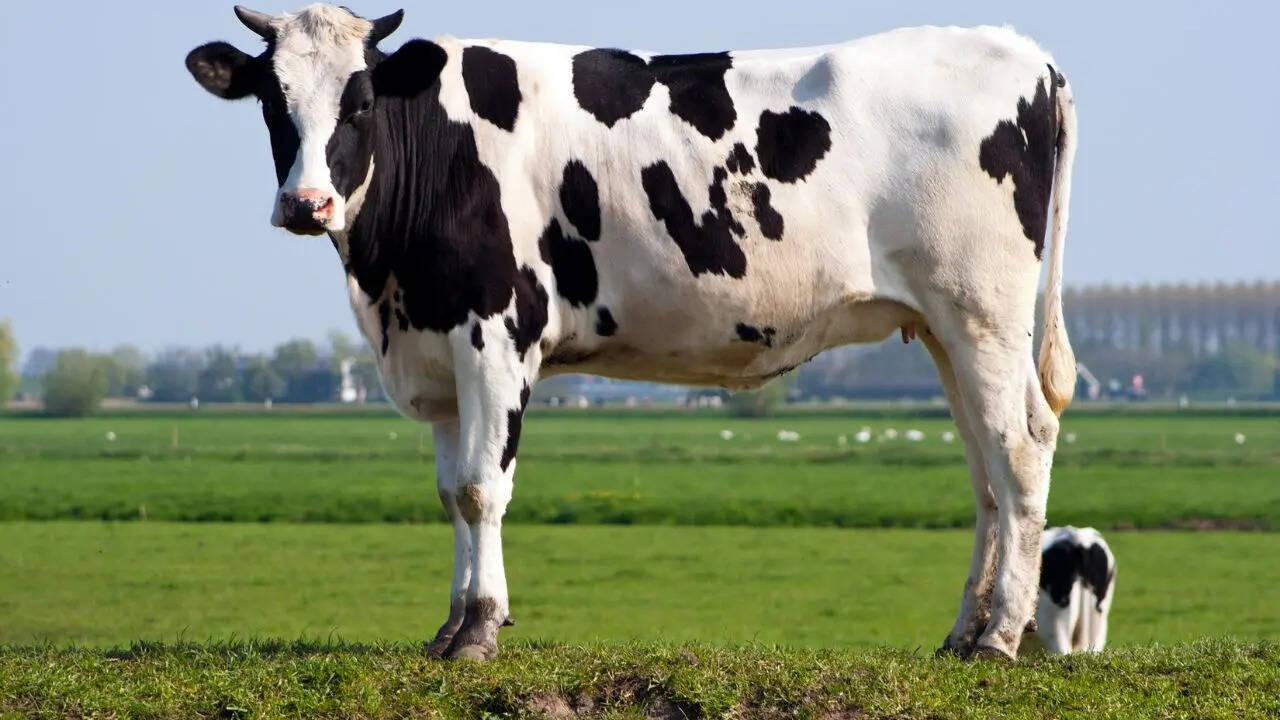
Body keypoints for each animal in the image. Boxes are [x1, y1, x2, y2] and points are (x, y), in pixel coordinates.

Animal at [186, 4, 1078, 661]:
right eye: (272, 101)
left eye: (361, 100)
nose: (307, 204)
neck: (388, 279)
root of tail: (1025, 53)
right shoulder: (435, 352)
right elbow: (449, 491)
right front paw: (450, 625)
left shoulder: (496, 337)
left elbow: (482, 488)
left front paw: (479, 629)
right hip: (945, 328)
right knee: (985, 470)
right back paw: (962, 634)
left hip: (983, 314)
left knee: (1021, 448)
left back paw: (1000, 636)